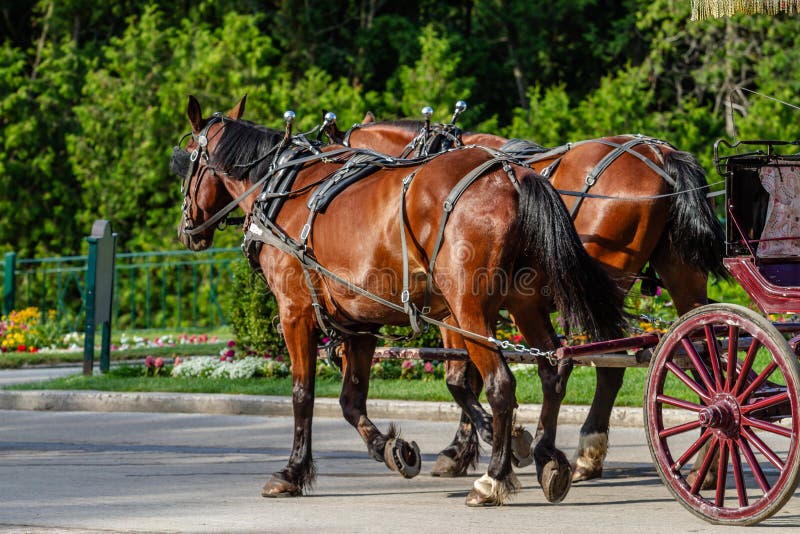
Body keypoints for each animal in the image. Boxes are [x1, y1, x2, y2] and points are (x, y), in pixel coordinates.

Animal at [174, 95, 627, 506]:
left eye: (184, 164)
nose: (186, 230)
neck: (281, 189)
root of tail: (513, 175)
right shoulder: (358, 322)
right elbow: (351, 400)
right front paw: (393, 449)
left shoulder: (295, 313)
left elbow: (303, 395)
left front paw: (292, 472)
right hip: (523, 303)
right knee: (554, 368)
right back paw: (549, 458)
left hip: (470, 309)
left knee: (502, 384)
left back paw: (493, 479)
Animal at [325, 115, 726, 485]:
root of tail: (658, 153)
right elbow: (473, 377)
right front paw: (476, 445)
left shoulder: (458, 310)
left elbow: (461, 379)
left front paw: (472, 447)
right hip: (681, 275)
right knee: (702, 356)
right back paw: (705, 462)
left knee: (614, 367)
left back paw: (589, 453)